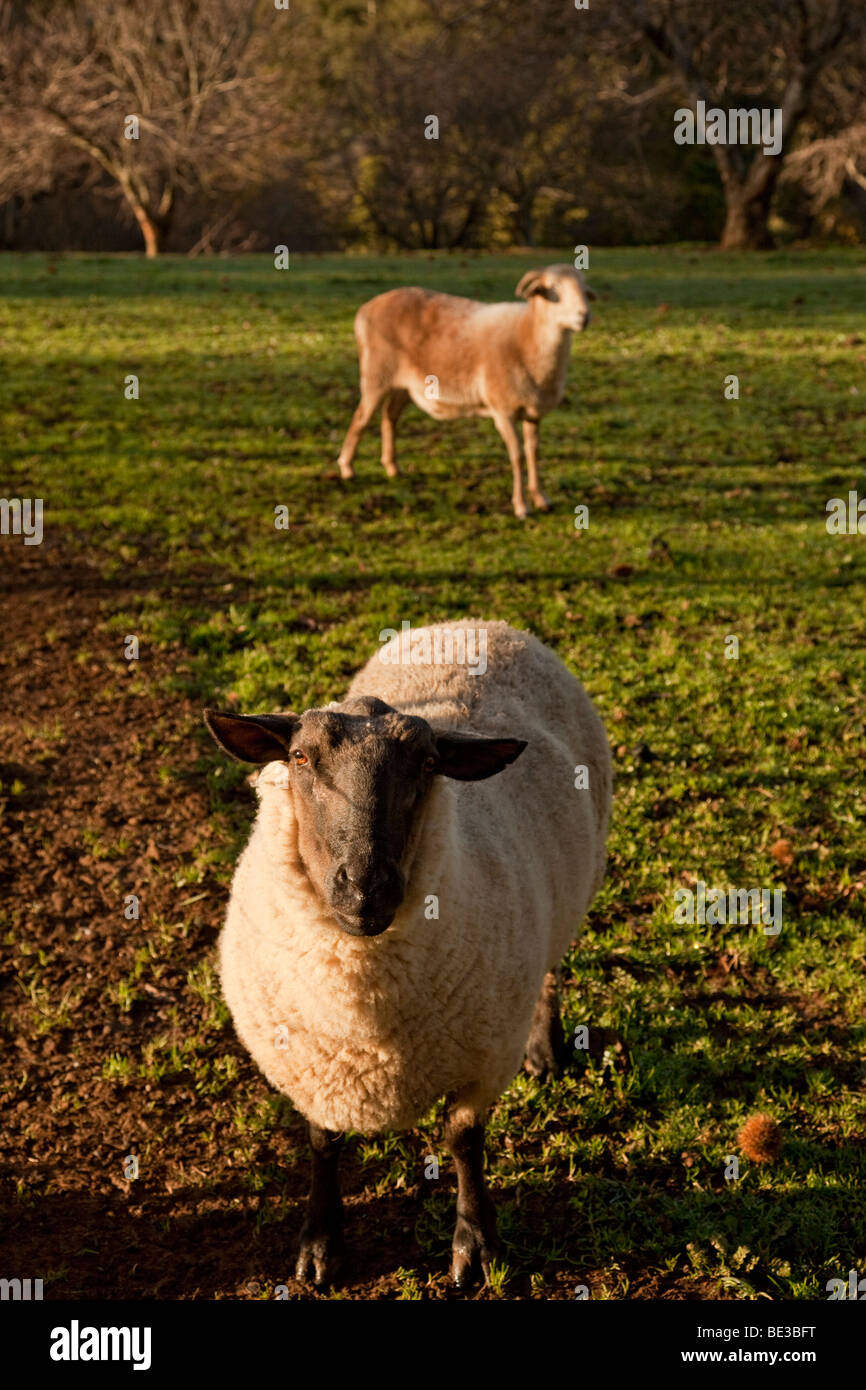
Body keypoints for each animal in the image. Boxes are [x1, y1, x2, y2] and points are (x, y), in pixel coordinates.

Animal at [204, 619, 612, 1288]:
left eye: (426, 763)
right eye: (299, 757)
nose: (365, 888)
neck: (366, 1024)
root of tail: (478, 624)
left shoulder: (482, 1058)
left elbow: (464, 1142)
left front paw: (475, 1246)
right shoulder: (314, 1066)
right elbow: (322, 1144)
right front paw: (320, 1245)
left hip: (569, 898)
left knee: (551, 968)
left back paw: (546, 1048)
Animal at [336, 264, 595, 519]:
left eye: (584, 289)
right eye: (553, 289)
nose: (584, 316)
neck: (527, 335)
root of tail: (366, 308)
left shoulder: (532, 411)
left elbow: (534, 452)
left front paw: (541, 499)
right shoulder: (503, 411)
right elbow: (518, 456)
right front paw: (521, 506)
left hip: (404, 385)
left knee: (390, 416)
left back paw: (392, 467)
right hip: (376, 374)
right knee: (361, 417)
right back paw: (347, 468)